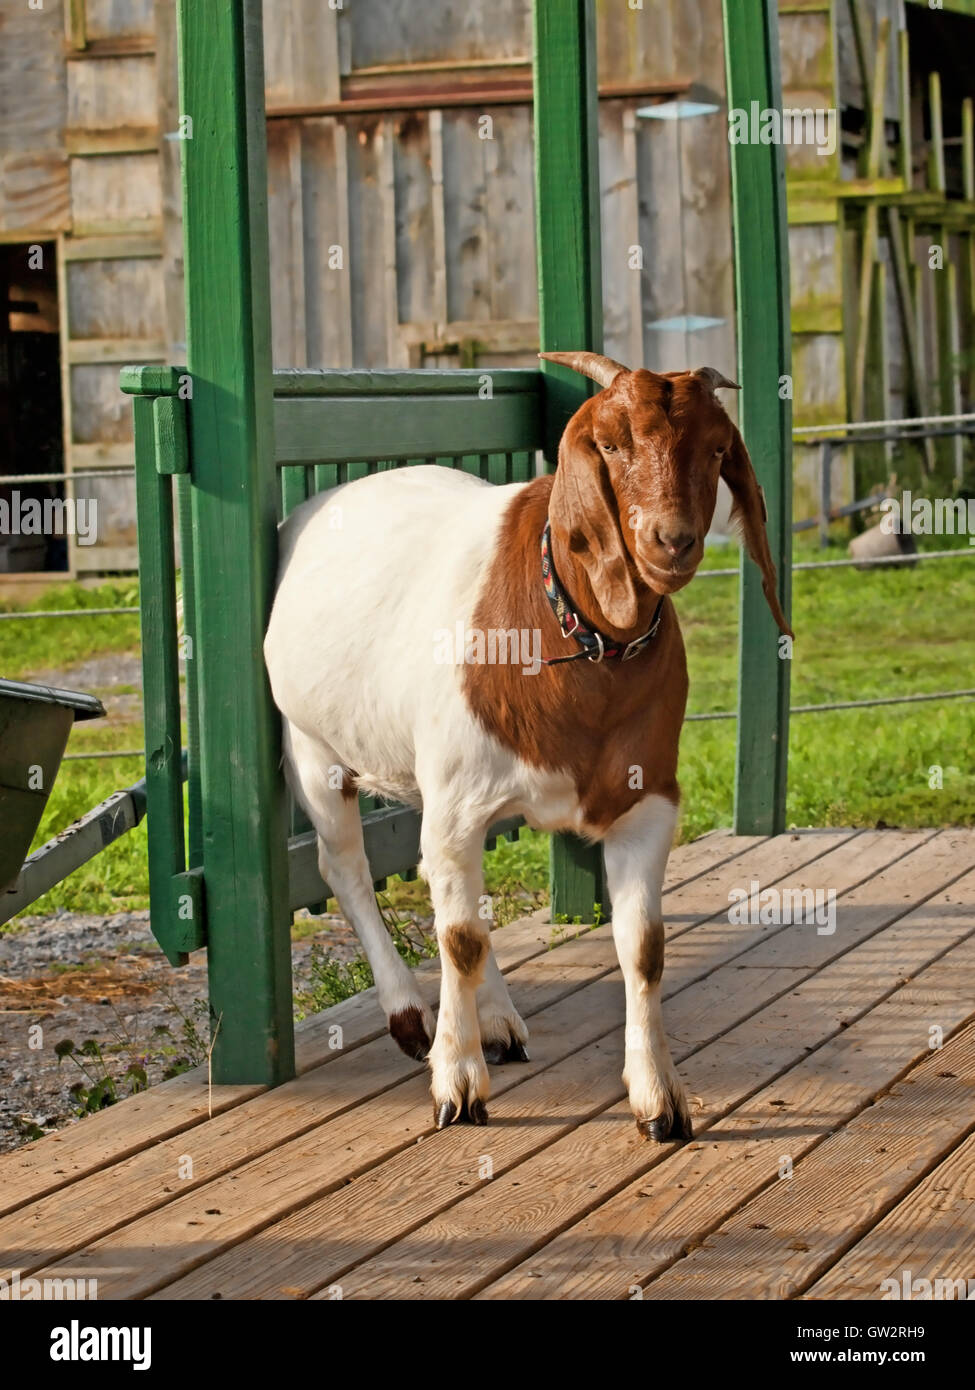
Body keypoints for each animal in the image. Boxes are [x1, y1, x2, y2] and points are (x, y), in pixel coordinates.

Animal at [264, 353, 792, 1141]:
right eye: (608, 444)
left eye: (716, 448)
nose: (671, 541)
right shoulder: (454, 801)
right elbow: (457, 939)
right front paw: (456, 1086)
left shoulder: (645, 801)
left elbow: (642, 947)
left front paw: (658, 1098)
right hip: (311, 745)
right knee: (349, 870)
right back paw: (411, 1016)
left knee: (447, 886)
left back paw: (496, 1020)